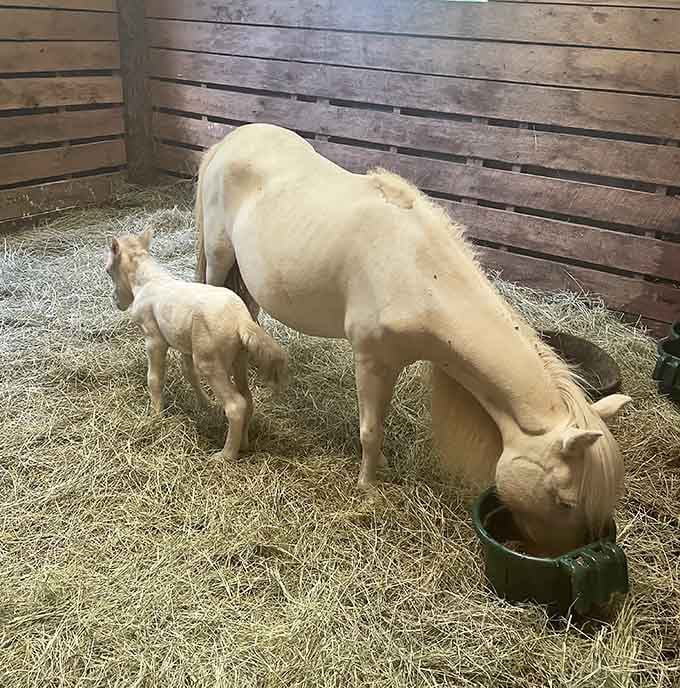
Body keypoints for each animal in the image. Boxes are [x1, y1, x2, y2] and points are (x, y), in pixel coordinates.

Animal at [193, 122, 631, 556]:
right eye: (566, 500)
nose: (557, 553)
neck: (417, 270)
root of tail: (227, 142)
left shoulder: (394, 362)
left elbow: (379, 422)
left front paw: (381, 467)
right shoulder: (370, 360)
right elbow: (370, 429)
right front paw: (368, 487)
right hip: (219, 259)